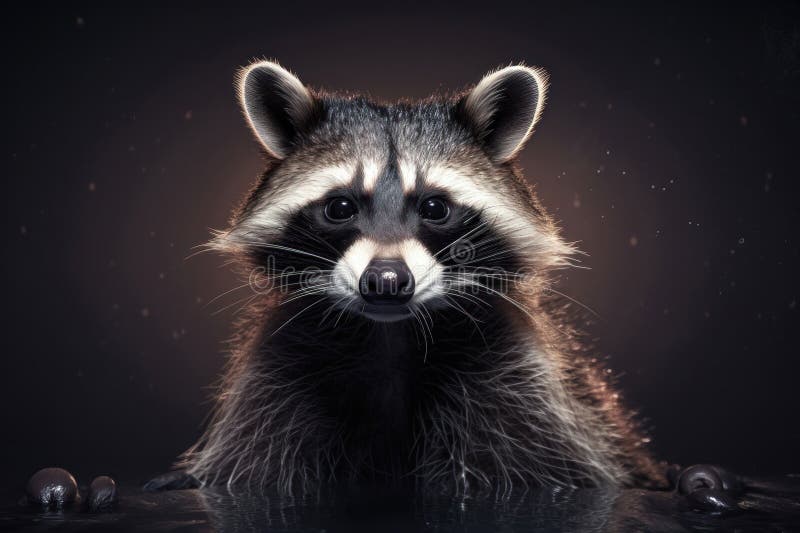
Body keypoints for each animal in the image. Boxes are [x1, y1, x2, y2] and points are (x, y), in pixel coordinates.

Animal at [176, 60, 666, 493]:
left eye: (435, 207)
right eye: (340, 207)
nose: (387, 280)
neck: (390, 336)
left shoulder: (523, 389)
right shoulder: (275, 381)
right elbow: (255, 462)